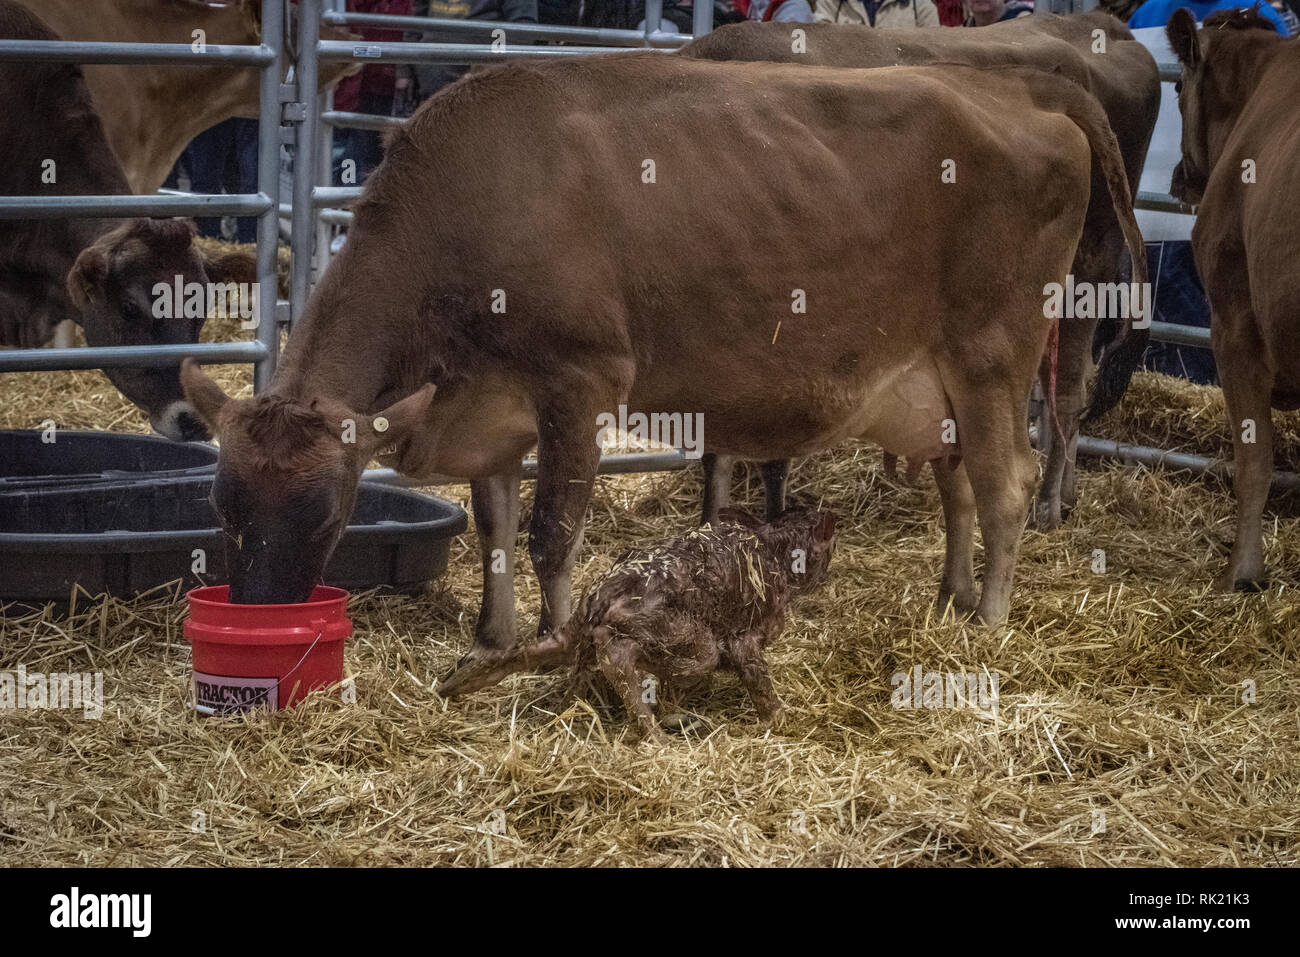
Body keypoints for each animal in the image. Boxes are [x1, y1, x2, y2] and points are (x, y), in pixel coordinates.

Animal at [178, 53, 1147, 680]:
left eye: (326, 514)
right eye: (221, 508)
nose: (258, 613)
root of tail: (1026, 92)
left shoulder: (580, 379)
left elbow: (551, 531)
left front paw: (550, 642)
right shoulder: (490, 401)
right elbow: (494, 525)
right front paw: (493, 635)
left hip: (994, 351)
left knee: (1005, 480)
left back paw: (988, 618)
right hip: (940, 379)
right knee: (959, 484)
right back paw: (951, 595)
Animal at [680, 12, 1161, 530]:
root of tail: (1099, 22)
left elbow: (766, 456)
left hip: (1088, 264)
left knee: (1068, 392)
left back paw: (1050, 504)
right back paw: (1065, 494)